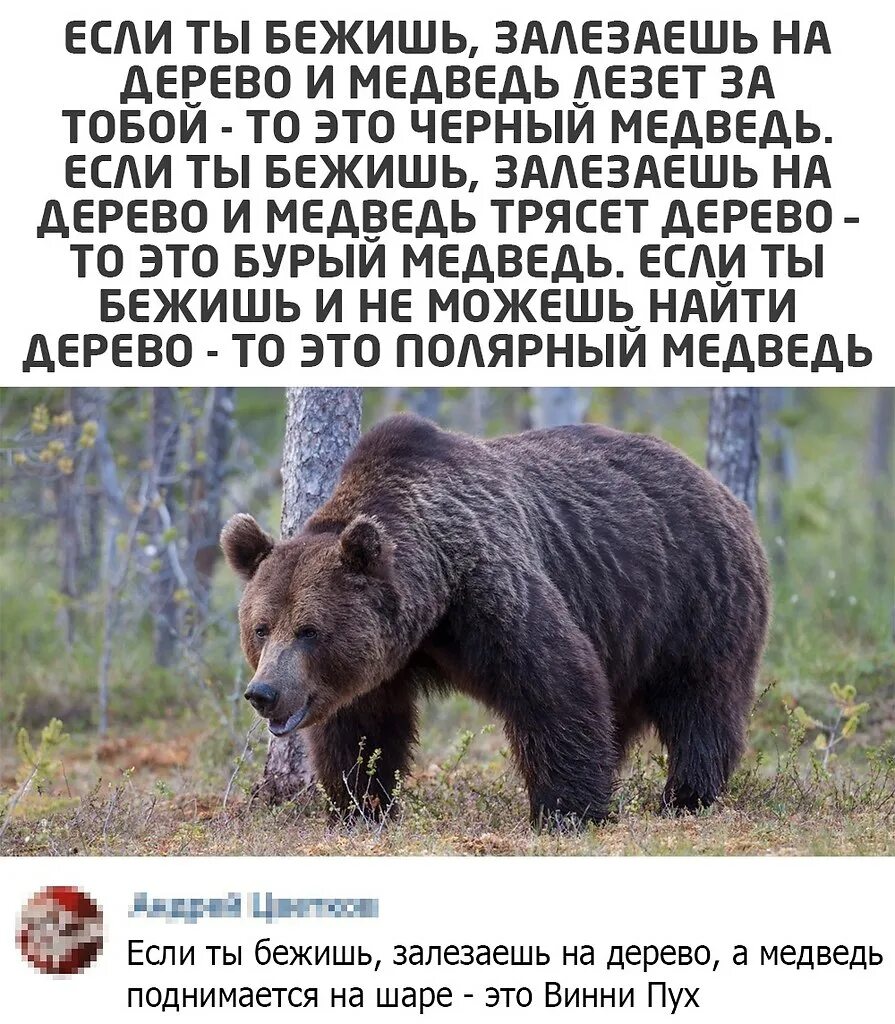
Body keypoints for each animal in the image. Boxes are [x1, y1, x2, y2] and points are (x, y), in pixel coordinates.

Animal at [221, 414, 771, 826]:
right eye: (261, 628)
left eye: (309, 630)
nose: (263, 692)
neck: (433, 594)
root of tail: (721, 489)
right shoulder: (379, 658)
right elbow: (361, 727)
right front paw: (361, 804)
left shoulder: (488, 590)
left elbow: (554, 683)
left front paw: (566, 810)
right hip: (631, 633)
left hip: (693, 598)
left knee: (701, 701)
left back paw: (686, 796)